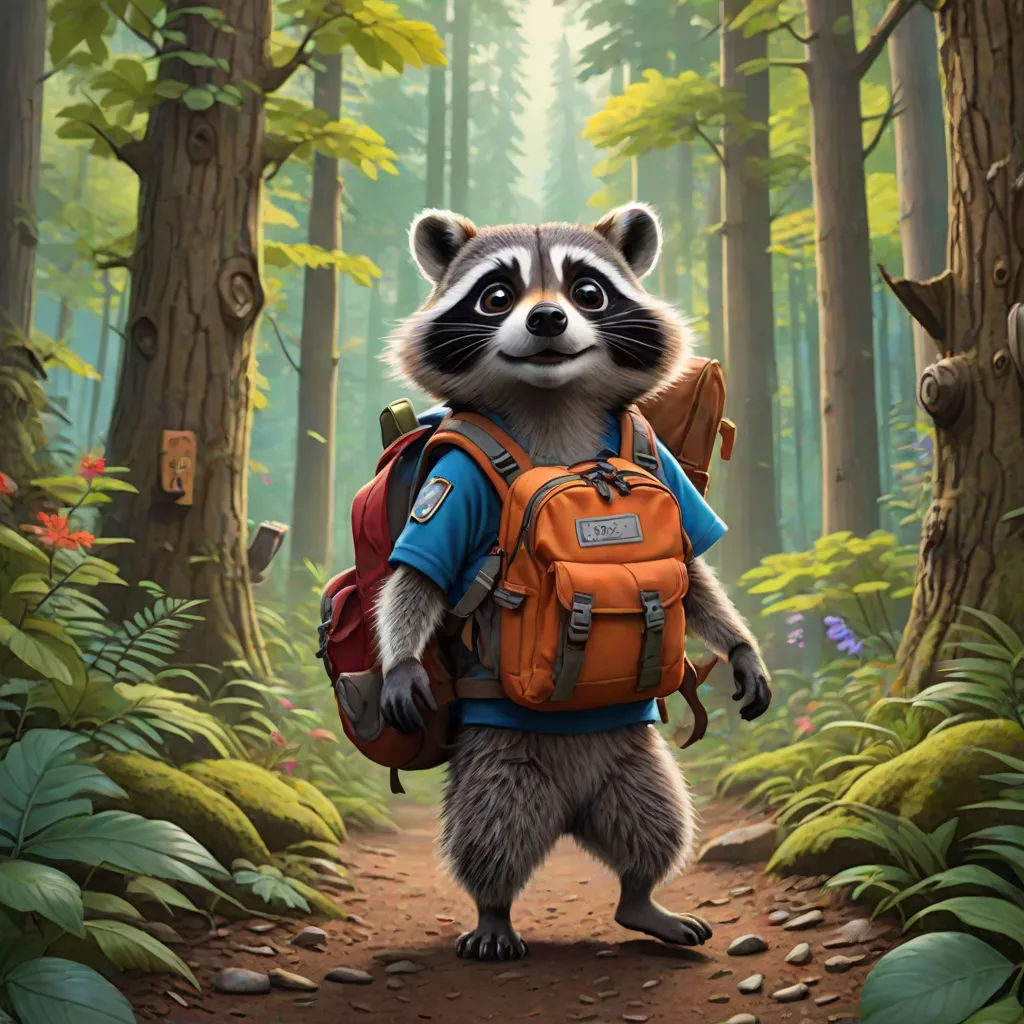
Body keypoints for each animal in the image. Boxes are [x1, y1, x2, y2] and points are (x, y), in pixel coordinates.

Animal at [375, 204, 771, 961]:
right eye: (496, 296)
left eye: (588, 291)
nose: (548, 319)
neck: (550, 403)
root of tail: (568, 811)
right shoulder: (452, 484)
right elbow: (415, 578)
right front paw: (404, 665)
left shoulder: (666, 469)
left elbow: (693, 567)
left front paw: (743, 650)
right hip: (501, 759)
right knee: (490, 829)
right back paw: (494, 911)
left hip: (633, 764)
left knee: (656, 821)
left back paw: (644, 899)